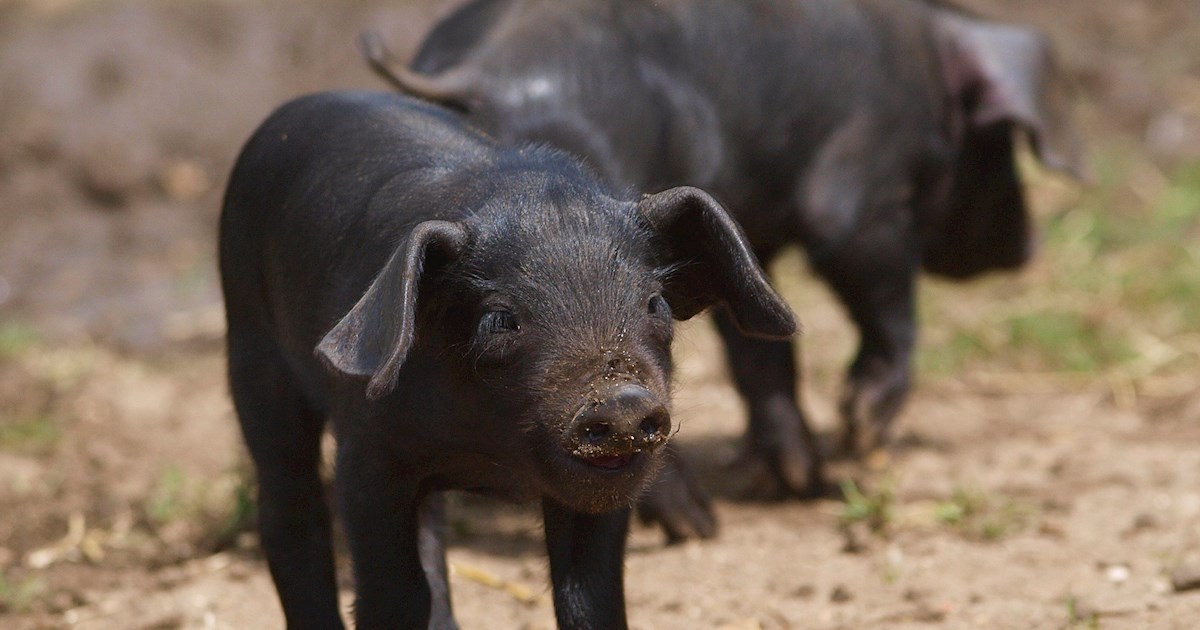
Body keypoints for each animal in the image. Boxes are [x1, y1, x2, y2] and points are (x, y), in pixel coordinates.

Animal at [218, 90, 794, 628]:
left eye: (656, 303)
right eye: (499, 319)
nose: (622, 402)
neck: (490, 459)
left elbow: (589, 597)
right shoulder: (368, 451)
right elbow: (393, 596)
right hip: (250, 348)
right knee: (290, 513)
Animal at [361, 0, 1084, 540]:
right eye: (996, 138)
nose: (1029, 244)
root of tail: (467, 73)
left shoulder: (738, 240)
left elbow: (758, 349)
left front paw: (796, 483)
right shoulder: (861, 191)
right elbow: (882, 298)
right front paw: (859, 431)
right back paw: (699, 525)